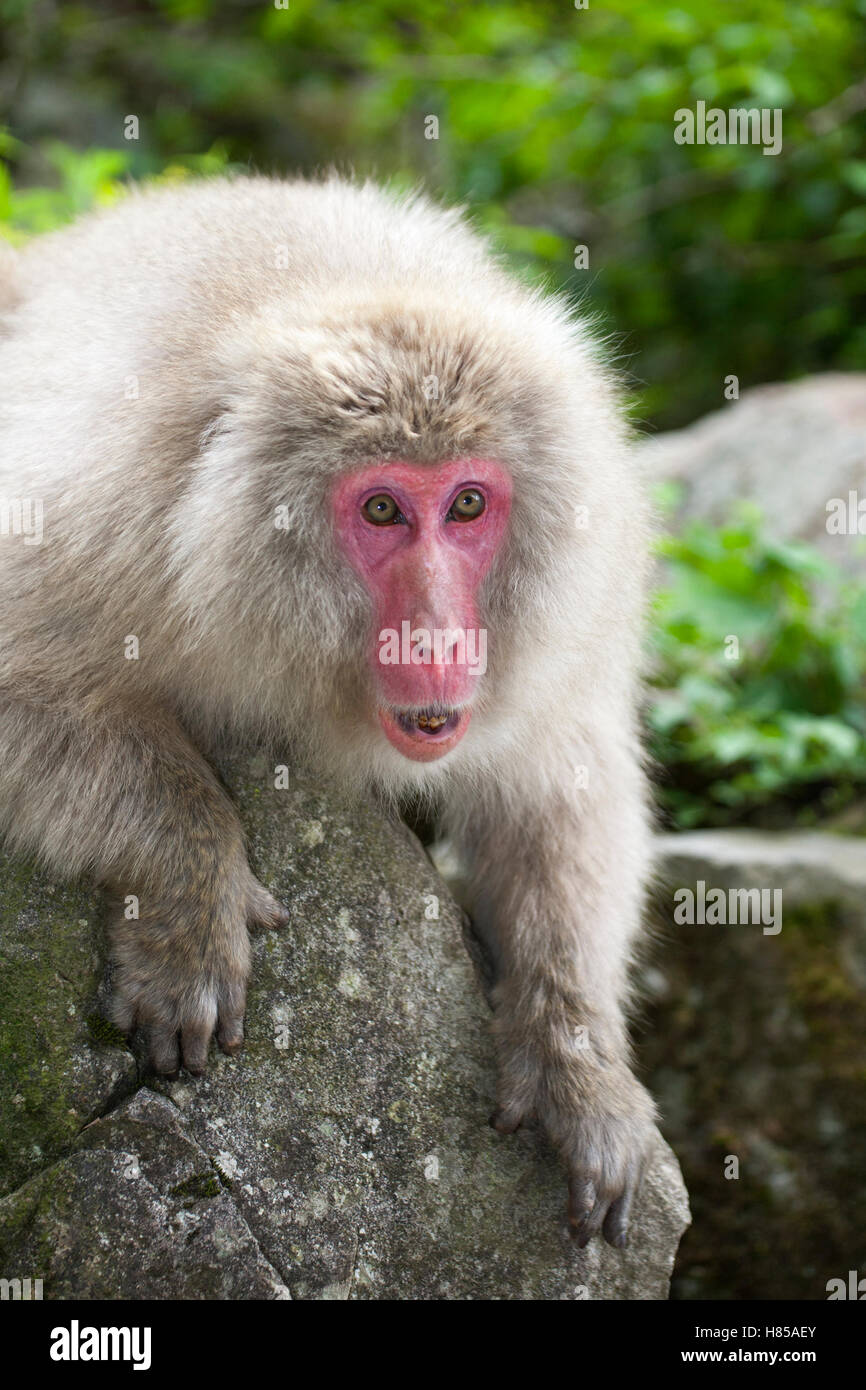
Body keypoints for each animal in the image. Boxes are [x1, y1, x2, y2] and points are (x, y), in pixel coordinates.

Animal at [0, 174, 657, 1250]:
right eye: (383, 509)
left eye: (467, 504)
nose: (434, 641)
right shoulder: (116, 512)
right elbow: (30, 675)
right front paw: (190, 890)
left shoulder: (580, 605)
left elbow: (565, 779)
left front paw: (578, 1057)